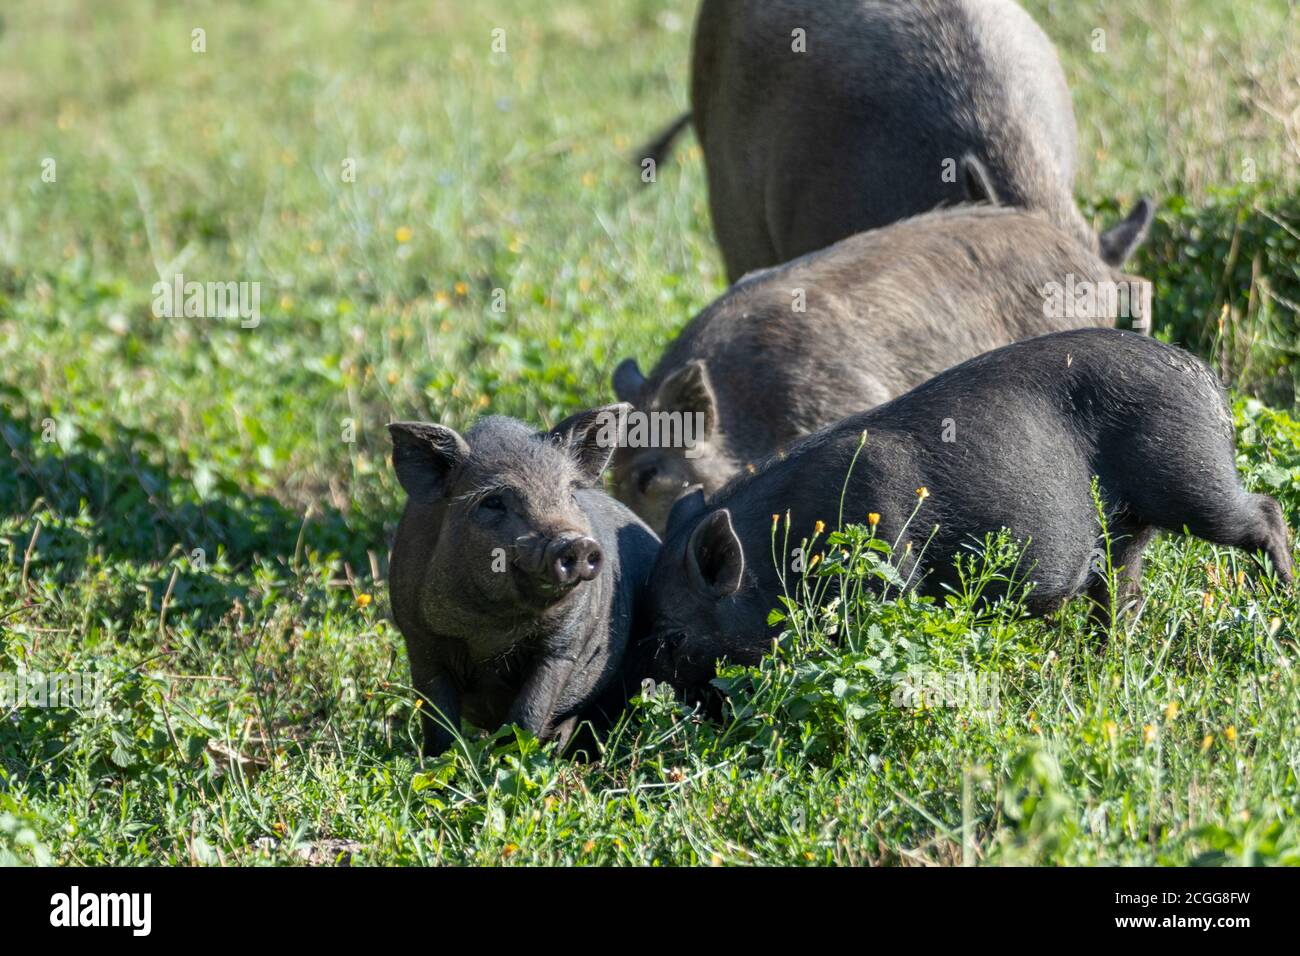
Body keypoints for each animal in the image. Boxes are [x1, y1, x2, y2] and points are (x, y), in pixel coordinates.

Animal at [387, 405, 660, 756]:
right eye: (493, 502)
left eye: (570, 494)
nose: (575, 542)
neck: (493, 631)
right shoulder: (420, 640)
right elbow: (438, 720)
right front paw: (441, 762)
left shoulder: (563, 646)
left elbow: (529, 712)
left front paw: (510, 758)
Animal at [638, 328, 1294, 690]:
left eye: (673, 639)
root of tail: (1208, 377)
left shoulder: (889, 579)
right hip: (1125, 529)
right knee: (1122, 593)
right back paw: (1109, 661)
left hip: (1190, 479)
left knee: (1264, 512)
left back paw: (1284, 598)